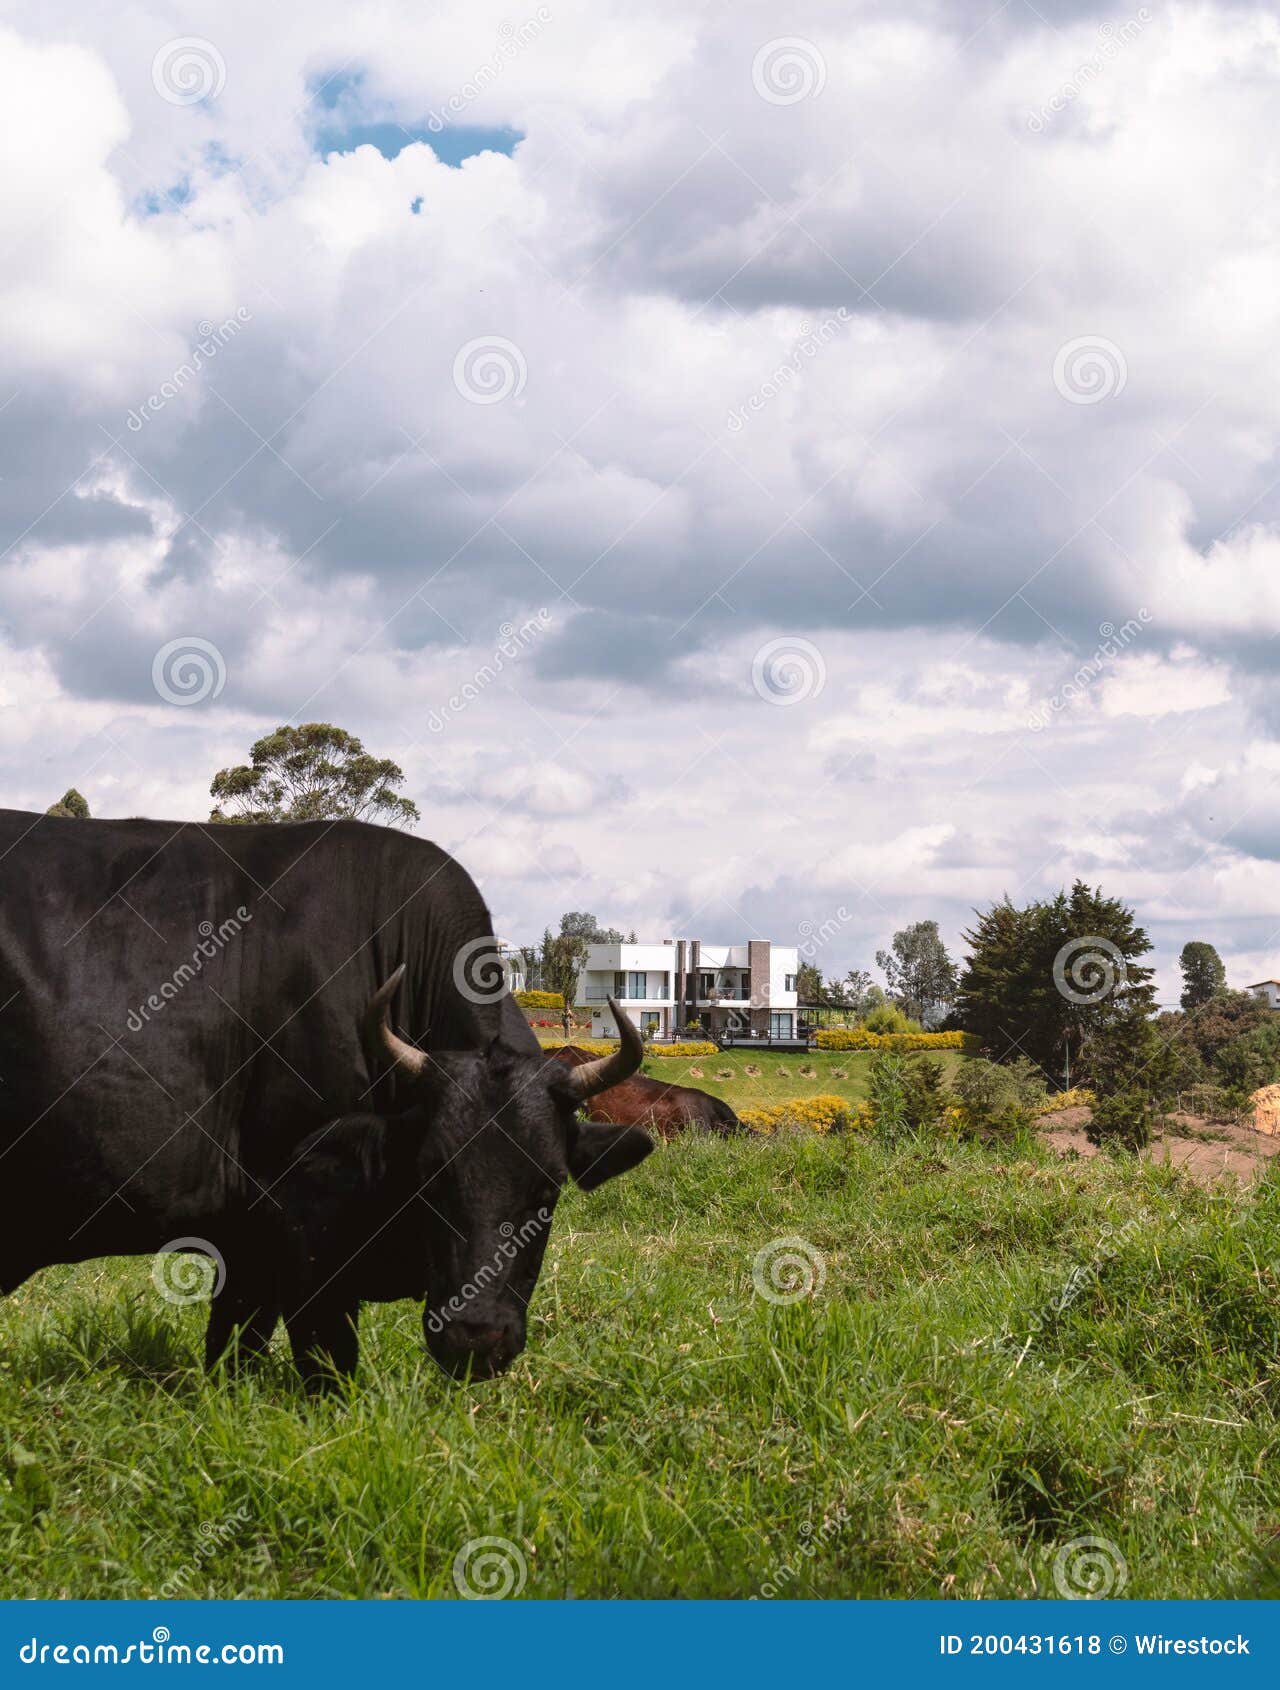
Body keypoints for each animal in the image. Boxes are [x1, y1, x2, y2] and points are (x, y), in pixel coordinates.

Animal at [0, 808, 652, 1386]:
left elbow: (232, 1350)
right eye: (432, 1179)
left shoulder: (248, 1247)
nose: (476, 1337)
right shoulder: (299, 1229)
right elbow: (326, 1363)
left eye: (548, 1191)